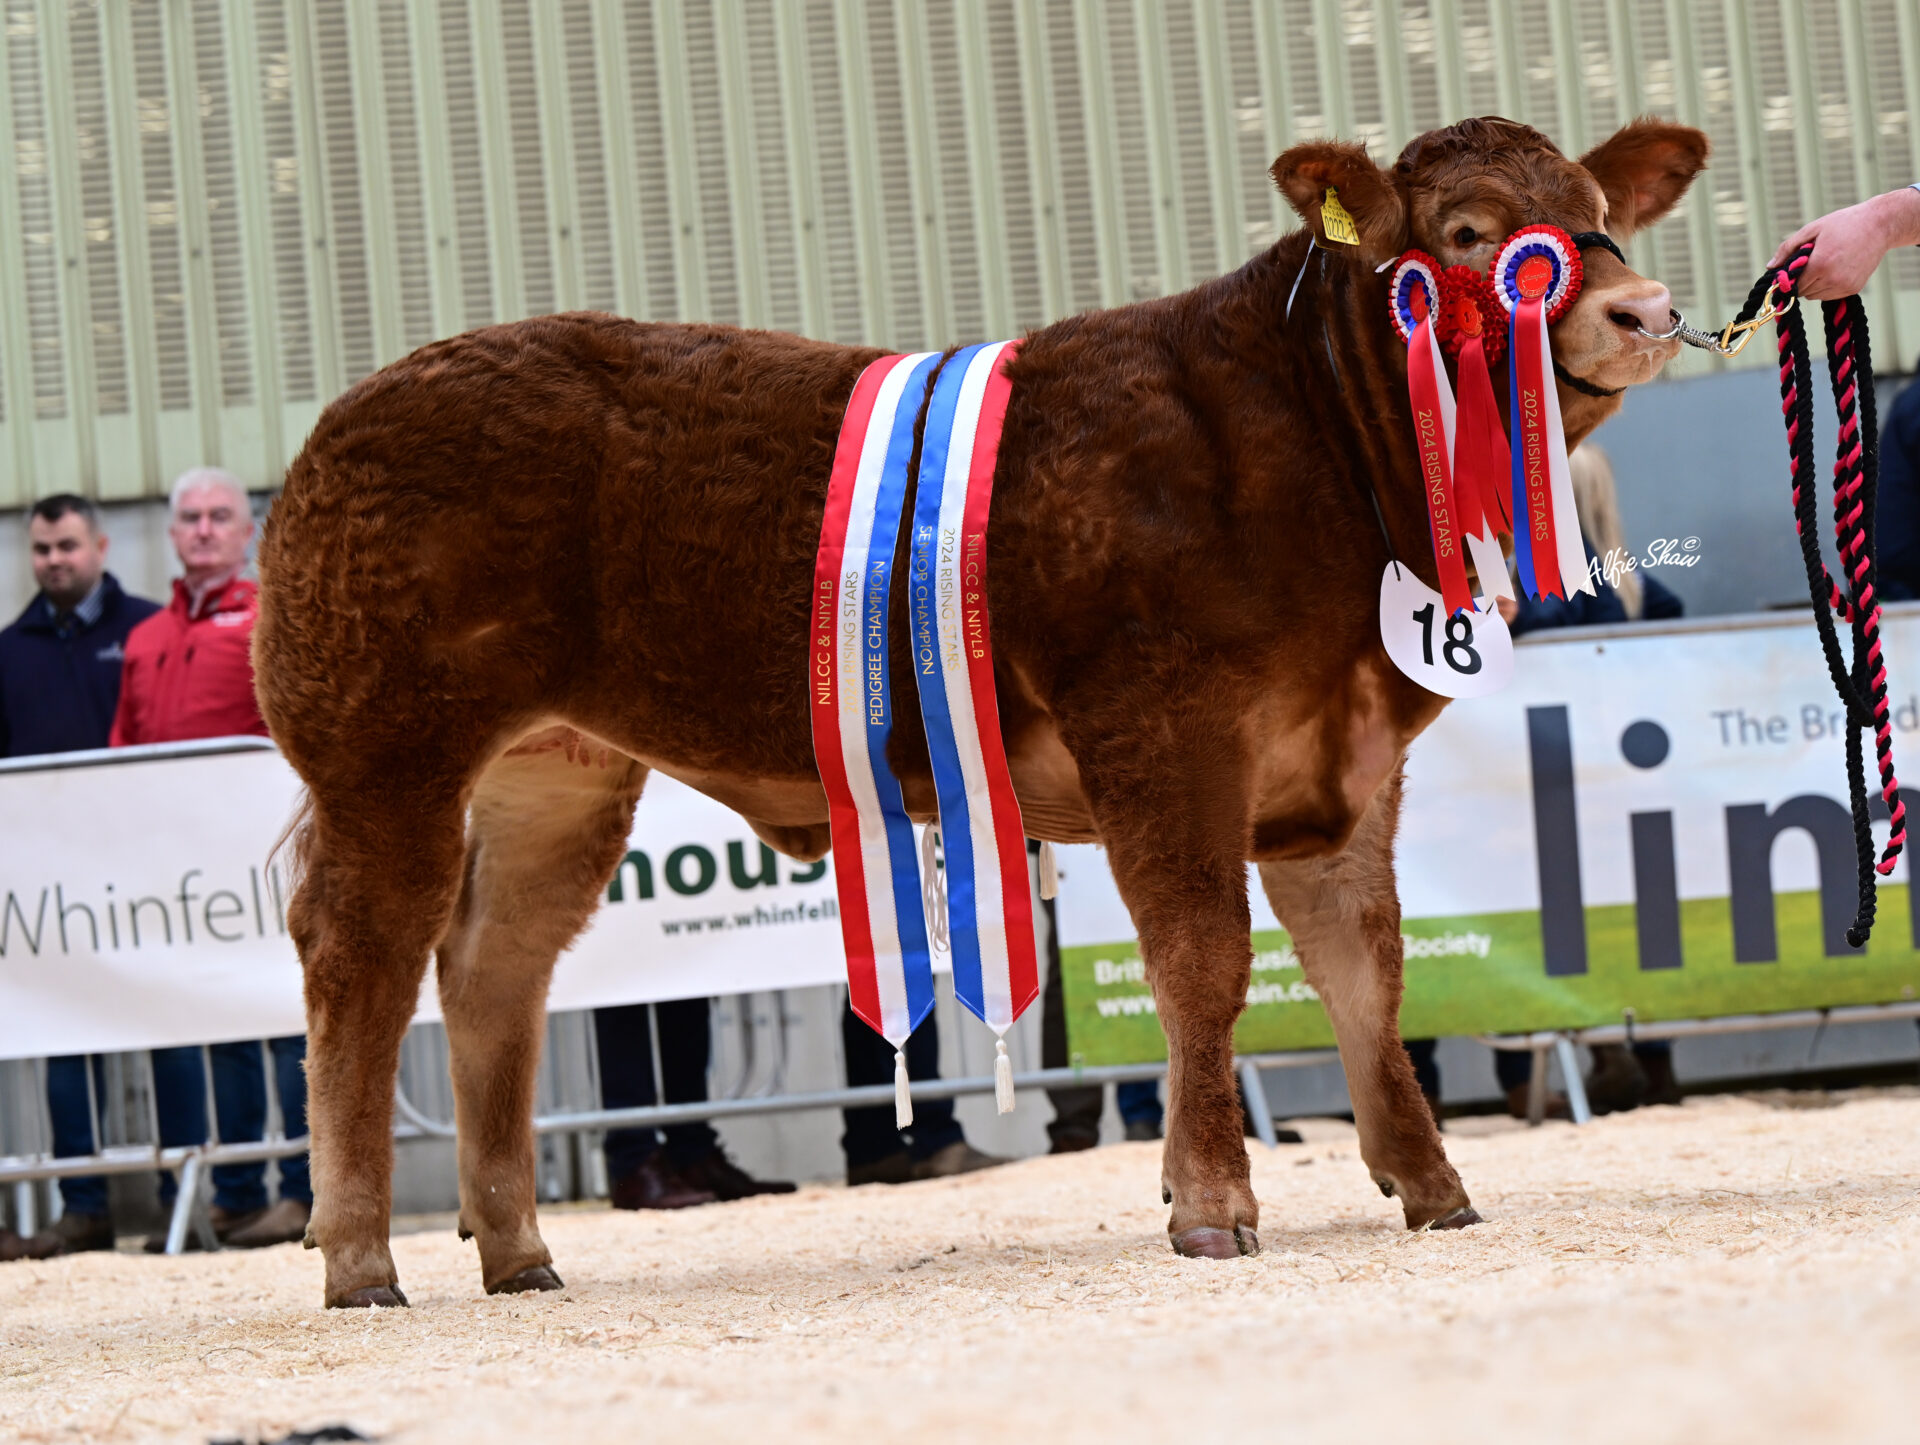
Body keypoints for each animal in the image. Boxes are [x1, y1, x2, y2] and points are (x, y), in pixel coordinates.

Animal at [254, 115, 1707, 1307]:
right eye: (1467, 235)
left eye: (1598, 209)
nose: (1645, 308)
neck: (1309, 448)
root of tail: (355, 408)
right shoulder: (1165, 727)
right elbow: (1204, 960)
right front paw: (1212, 1203)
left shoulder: (1337, 756)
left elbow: (1365, 968)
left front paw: (1431, 1183)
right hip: (387, 747)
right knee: (361, 961)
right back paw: (362, 1254)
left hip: (555, 772)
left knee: (493, 965)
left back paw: (517, 1248)